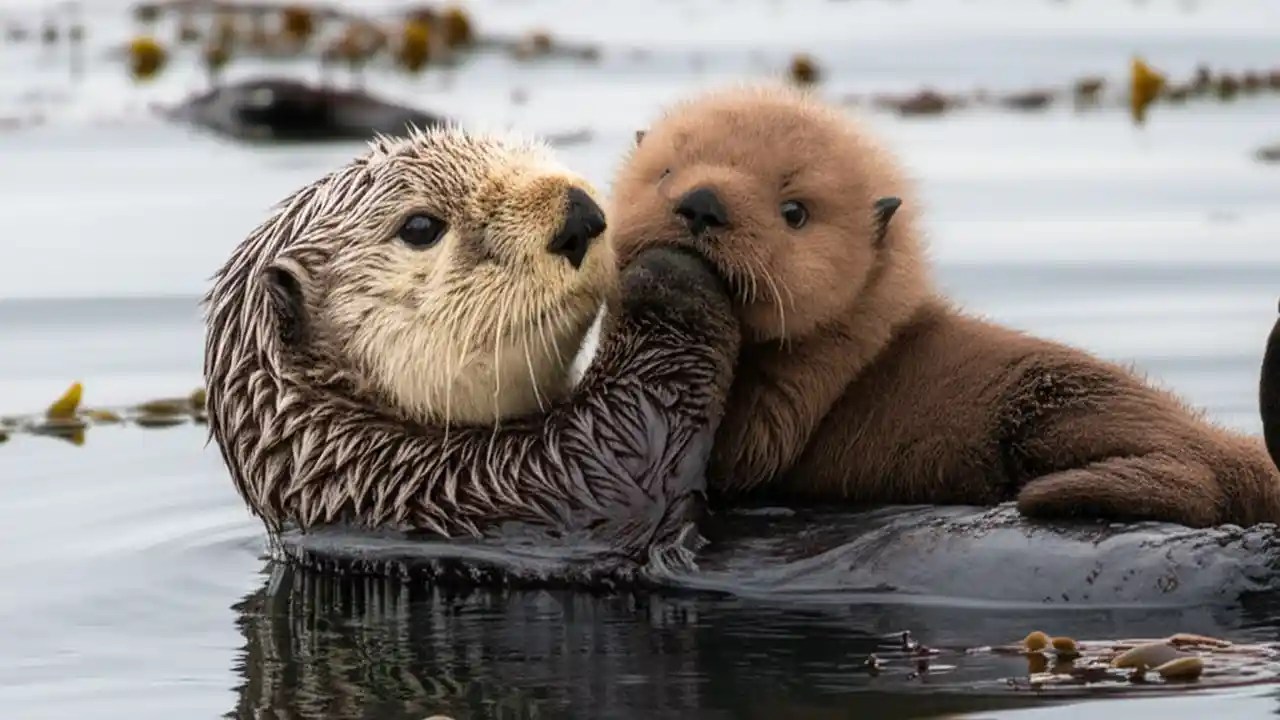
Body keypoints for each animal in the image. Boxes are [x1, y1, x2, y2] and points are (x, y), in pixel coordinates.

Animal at [203, 126, 740, 564]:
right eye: (420, 226)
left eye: (527, 153)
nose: (580, 216)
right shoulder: (548, 499)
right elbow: (633, 441)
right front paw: (668, 270)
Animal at [611, 85, 1280, 528]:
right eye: (665, 172)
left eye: (794, 212)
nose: (701, 203)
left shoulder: (798, 390)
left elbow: (735, 457)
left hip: (1068, 404)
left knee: (1200, 482)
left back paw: (1059, 491)